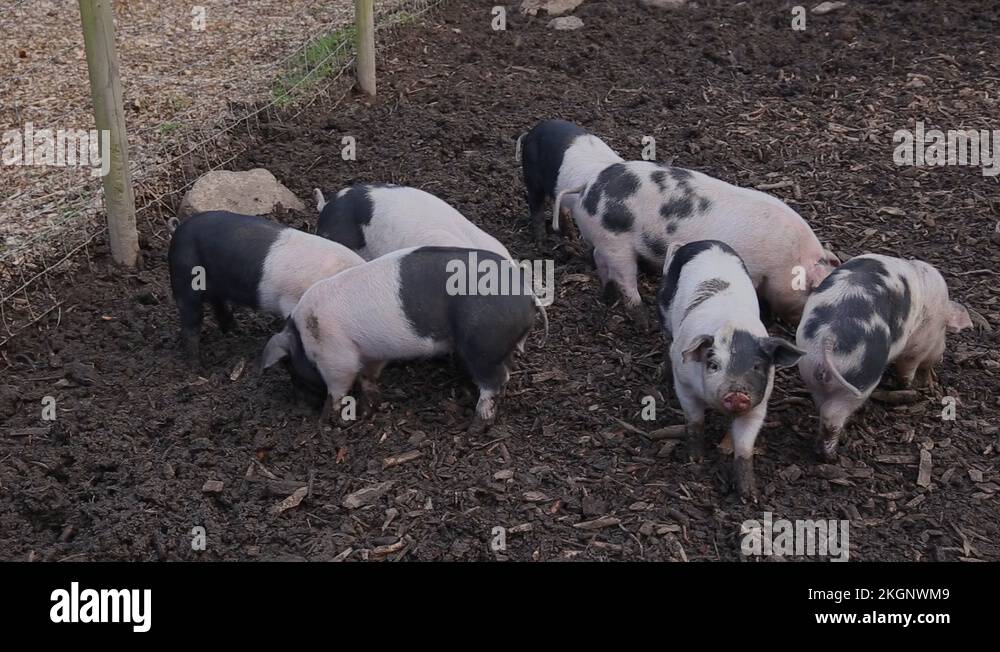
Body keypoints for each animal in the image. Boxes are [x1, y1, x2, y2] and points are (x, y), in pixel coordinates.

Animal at [168, 210, 365, 360]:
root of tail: (178, 230)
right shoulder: (291, 302)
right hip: (185, 275)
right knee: (191, 321)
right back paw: (196, 365)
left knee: (220, 306)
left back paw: (236, 332)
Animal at [260, 246, 547, 434]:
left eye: (289, 367)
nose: (299, 410)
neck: (304, 339)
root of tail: (527, 295)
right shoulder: (371, 355)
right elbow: (368, 378)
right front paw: (369, 410)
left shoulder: (336, 357)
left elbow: (339, 389)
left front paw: (329, 422)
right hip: (495, 347)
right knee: (506, 373)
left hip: (482, 345)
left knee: (493, 382)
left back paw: (475, 428)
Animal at [557, 162, 840, 326]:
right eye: (810, 291)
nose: (798, 324)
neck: (789, 260)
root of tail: (588, 187)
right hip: (616, 243)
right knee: (625, 278)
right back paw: (640, 315)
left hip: (604, 241)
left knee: (600, 262)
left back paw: (606, 297)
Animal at [659, 240, 804, 499]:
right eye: (714, 365)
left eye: (757, 366)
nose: (737, 392)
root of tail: (704, 242)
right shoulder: (685, 385)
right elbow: (694, 421)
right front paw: (695, 460)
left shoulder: (759, 404)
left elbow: (745, 445)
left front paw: (750, 496)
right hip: (665, 307)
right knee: (667, 338)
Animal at [796, 254, 973, 461]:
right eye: (945, 332)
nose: (941, 355)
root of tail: (829, 337)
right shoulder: (918, 342)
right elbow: (908, 366)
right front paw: (909, 386)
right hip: (858, 381)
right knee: (832, 417)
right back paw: (831, 456)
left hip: (810, 368)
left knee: (821, 405)